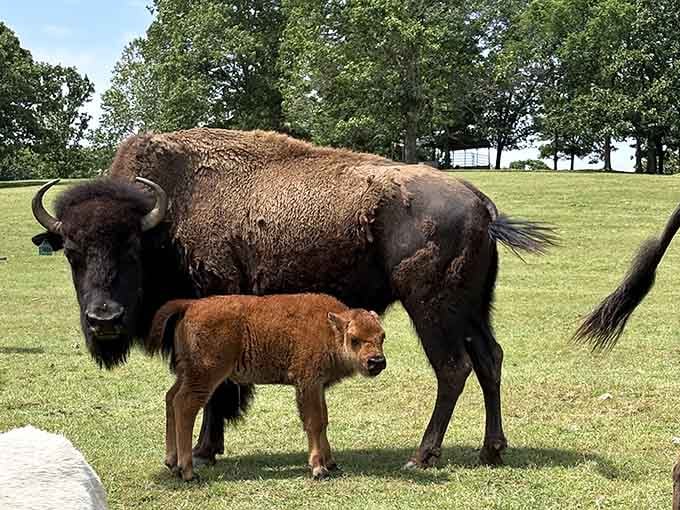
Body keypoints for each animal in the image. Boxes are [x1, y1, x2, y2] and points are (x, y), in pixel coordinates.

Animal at [146, 293, 386, 481]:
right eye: (354, 338)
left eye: (382, 336)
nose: (376, 361)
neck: (328, 328)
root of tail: (190, 305)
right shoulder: (308, 383)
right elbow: (314, 423)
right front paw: (318, 468)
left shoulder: (317, 387)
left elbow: (324, 421)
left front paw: (331, 463)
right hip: (205, 375)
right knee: (184, 405)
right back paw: (188, 472)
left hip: (186, 373)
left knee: (171, 398)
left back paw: (171, 462)